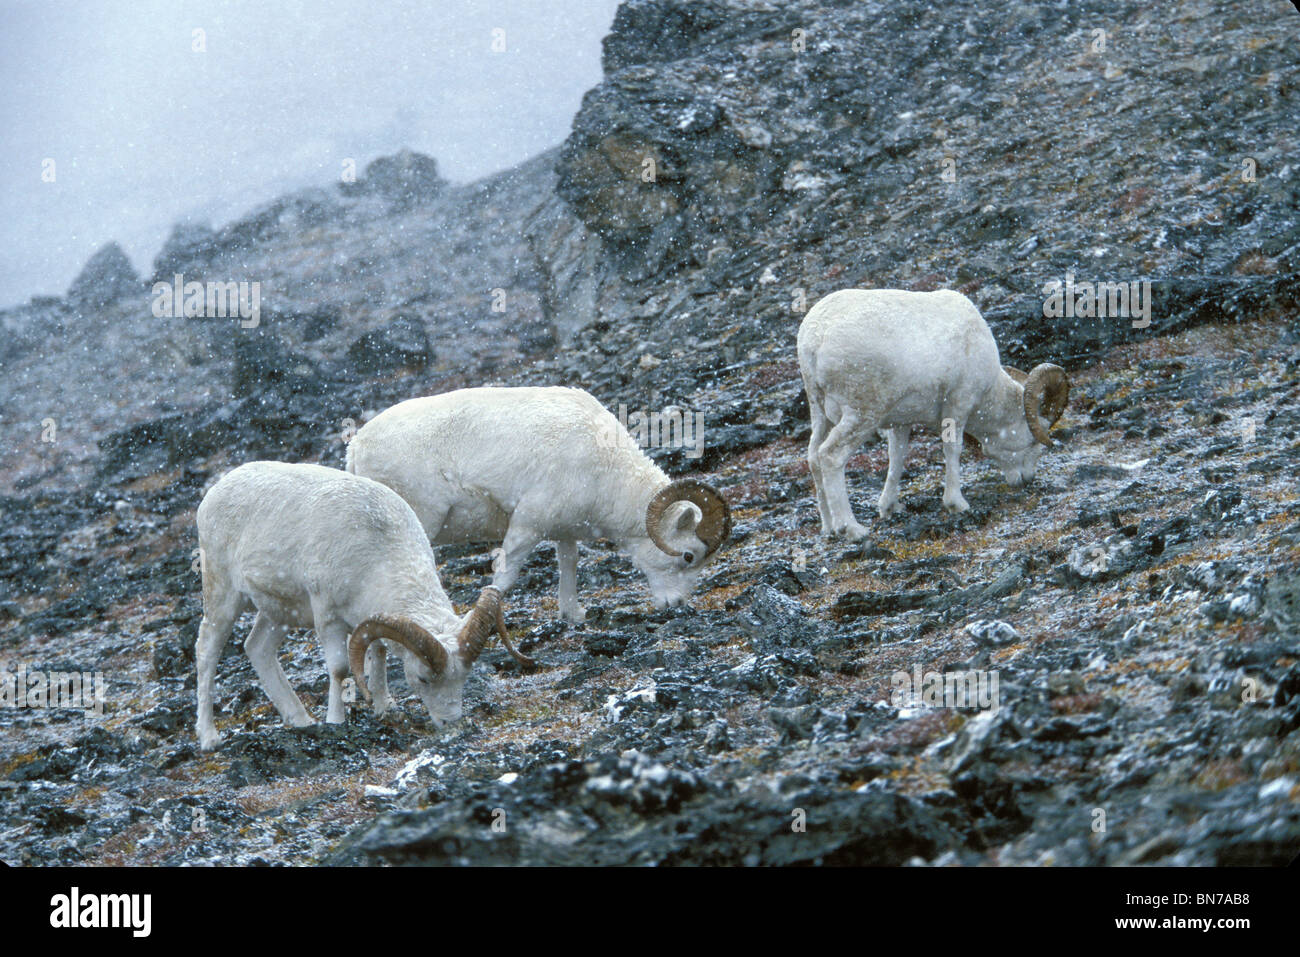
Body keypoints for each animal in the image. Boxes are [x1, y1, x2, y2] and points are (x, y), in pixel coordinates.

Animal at [193, 461, 532, 750]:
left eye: (463, 676)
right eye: (423, 678)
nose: (451, 723)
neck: (378, 553)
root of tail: (217, 490)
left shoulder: (366, 621)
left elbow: (378, 655)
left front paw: (384, 707)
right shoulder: (327, 619)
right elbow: (339, 669)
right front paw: (335, 721)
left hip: (279, 612)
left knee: (258, 648)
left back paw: (301, 721)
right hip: (223, 594)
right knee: (207, 651)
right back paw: (209, 738)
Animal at [345, 386, 731, 623]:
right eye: (688, 556)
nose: (675, 606)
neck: (606, 467)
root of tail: (356, 448)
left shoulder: (563, 529)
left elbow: (569, 565)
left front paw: (573, 616)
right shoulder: (528, 524)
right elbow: (505, 576)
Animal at [797, 288, 1069, 539]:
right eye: (1033, 441)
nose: (1027, 479)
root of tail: (815, 339)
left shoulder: (900, 423)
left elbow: (896, 458)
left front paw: (889, 507)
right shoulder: (958, 406)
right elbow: (953, 449)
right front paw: (956, 503)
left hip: (820, 413)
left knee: (813, 457)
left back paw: (829, 528)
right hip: (861, 416)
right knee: (830, 456)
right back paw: (852, 529)